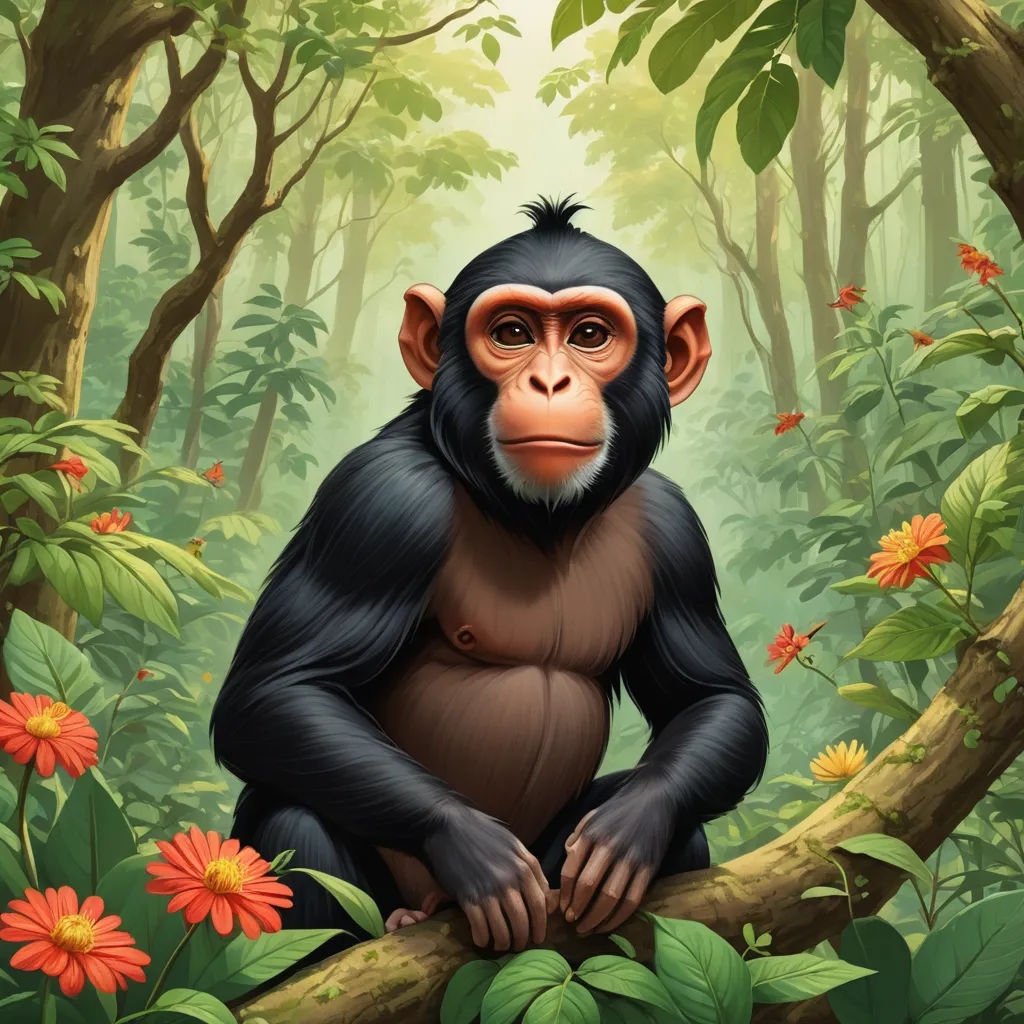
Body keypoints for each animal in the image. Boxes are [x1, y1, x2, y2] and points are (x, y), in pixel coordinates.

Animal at [211, 196, 768, 952]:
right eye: (511, 333)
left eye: (590, 335)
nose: (549, 381)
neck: (536, 519)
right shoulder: (378, 503)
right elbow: (273, 692)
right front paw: (472, 847)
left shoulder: (675, 531)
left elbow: (711, 697)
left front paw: (632, 827)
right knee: (292, 819)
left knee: (687, 839)